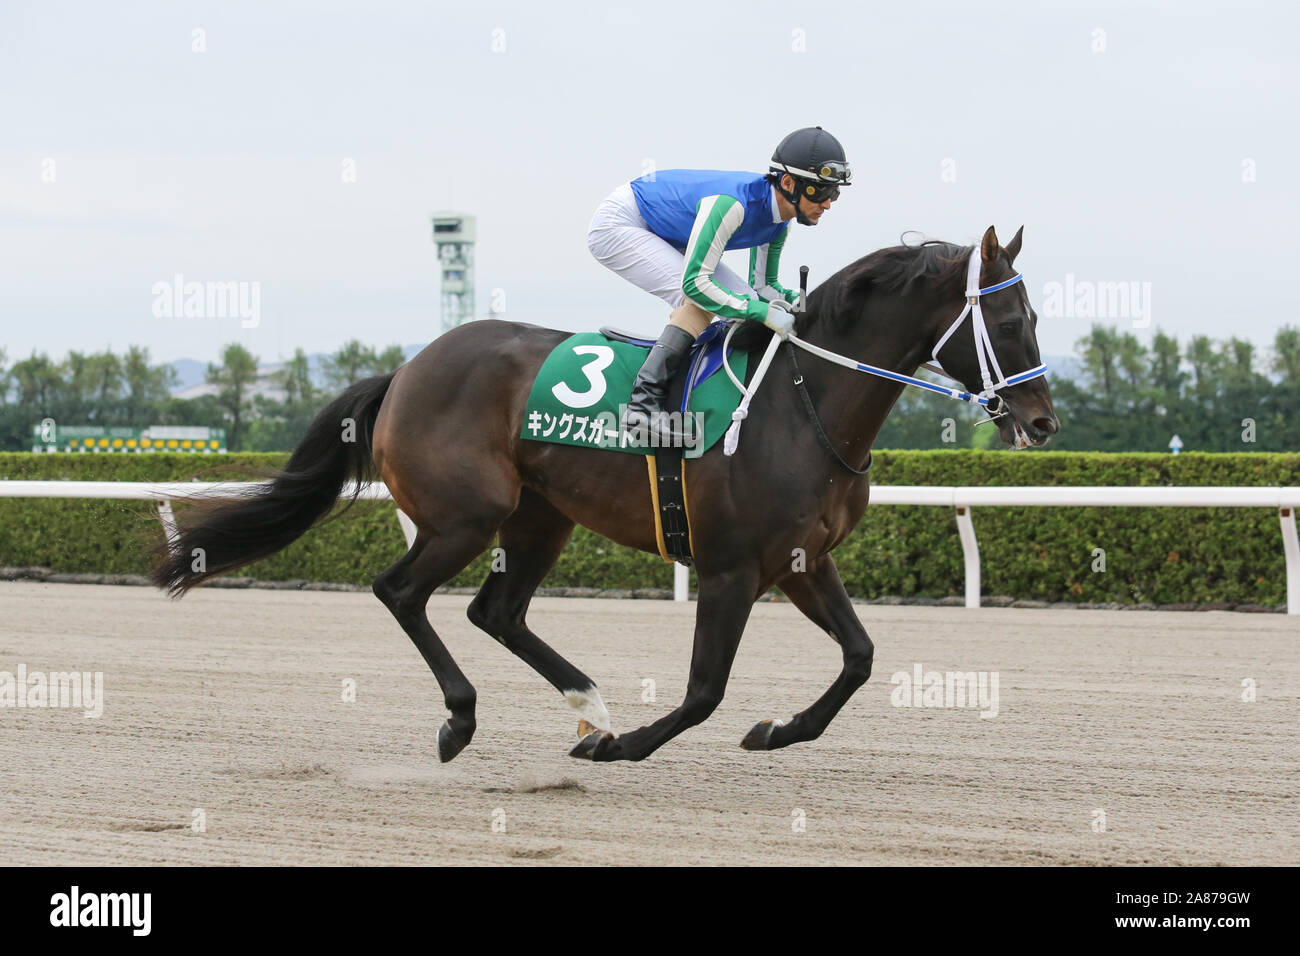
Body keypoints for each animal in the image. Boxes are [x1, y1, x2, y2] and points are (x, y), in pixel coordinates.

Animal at [153, 225, 1058, 763]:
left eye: (1036, 317)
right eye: (1012, 323)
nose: (1043, 421)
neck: (802, 403)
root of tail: (406, 369)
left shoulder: (801, 561)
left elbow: (862, 657)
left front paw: (777, 730)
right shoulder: (730, 569)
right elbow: (703, 691)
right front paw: (627, 749)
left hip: (538, 517)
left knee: (496, 611)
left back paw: (589, 705)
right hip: (466, 515)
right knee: (401, 592)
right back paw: (465, 719)